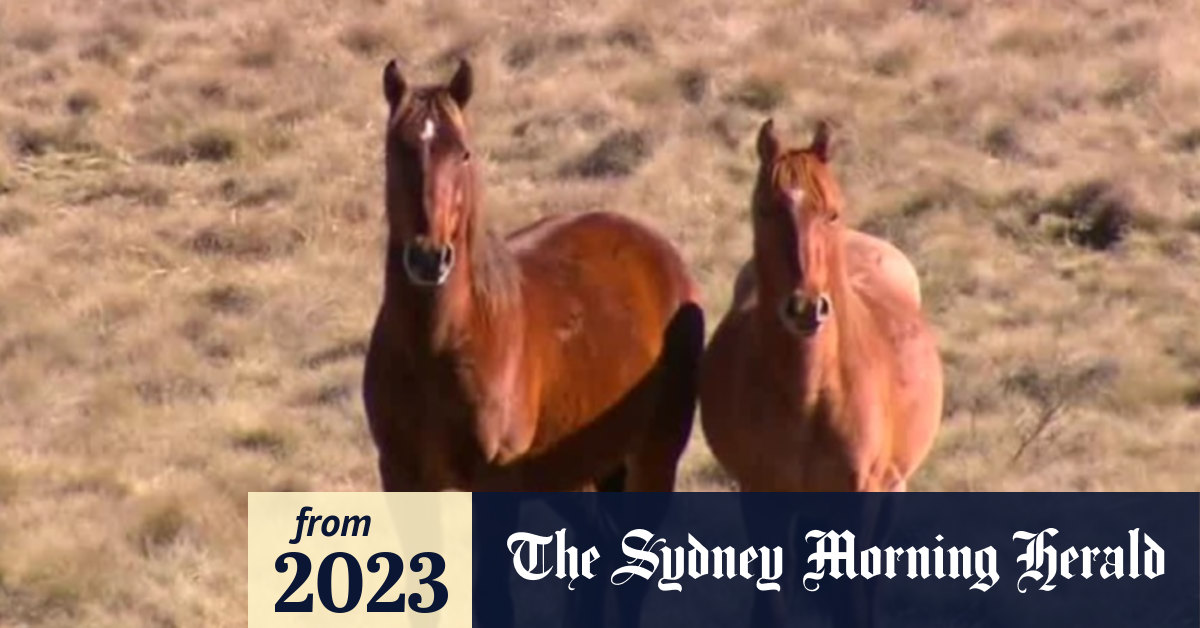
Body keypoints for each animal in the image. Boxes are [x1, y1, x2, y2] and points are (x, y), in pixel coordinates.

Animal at [362, 59, 704, 493]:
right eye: (395, 150)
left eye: (463, 154)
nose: (429, 258)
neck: (443, 343)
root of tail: (665, 255)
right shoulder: (400, 475)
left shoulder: (497, 477)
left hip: (654, 455)